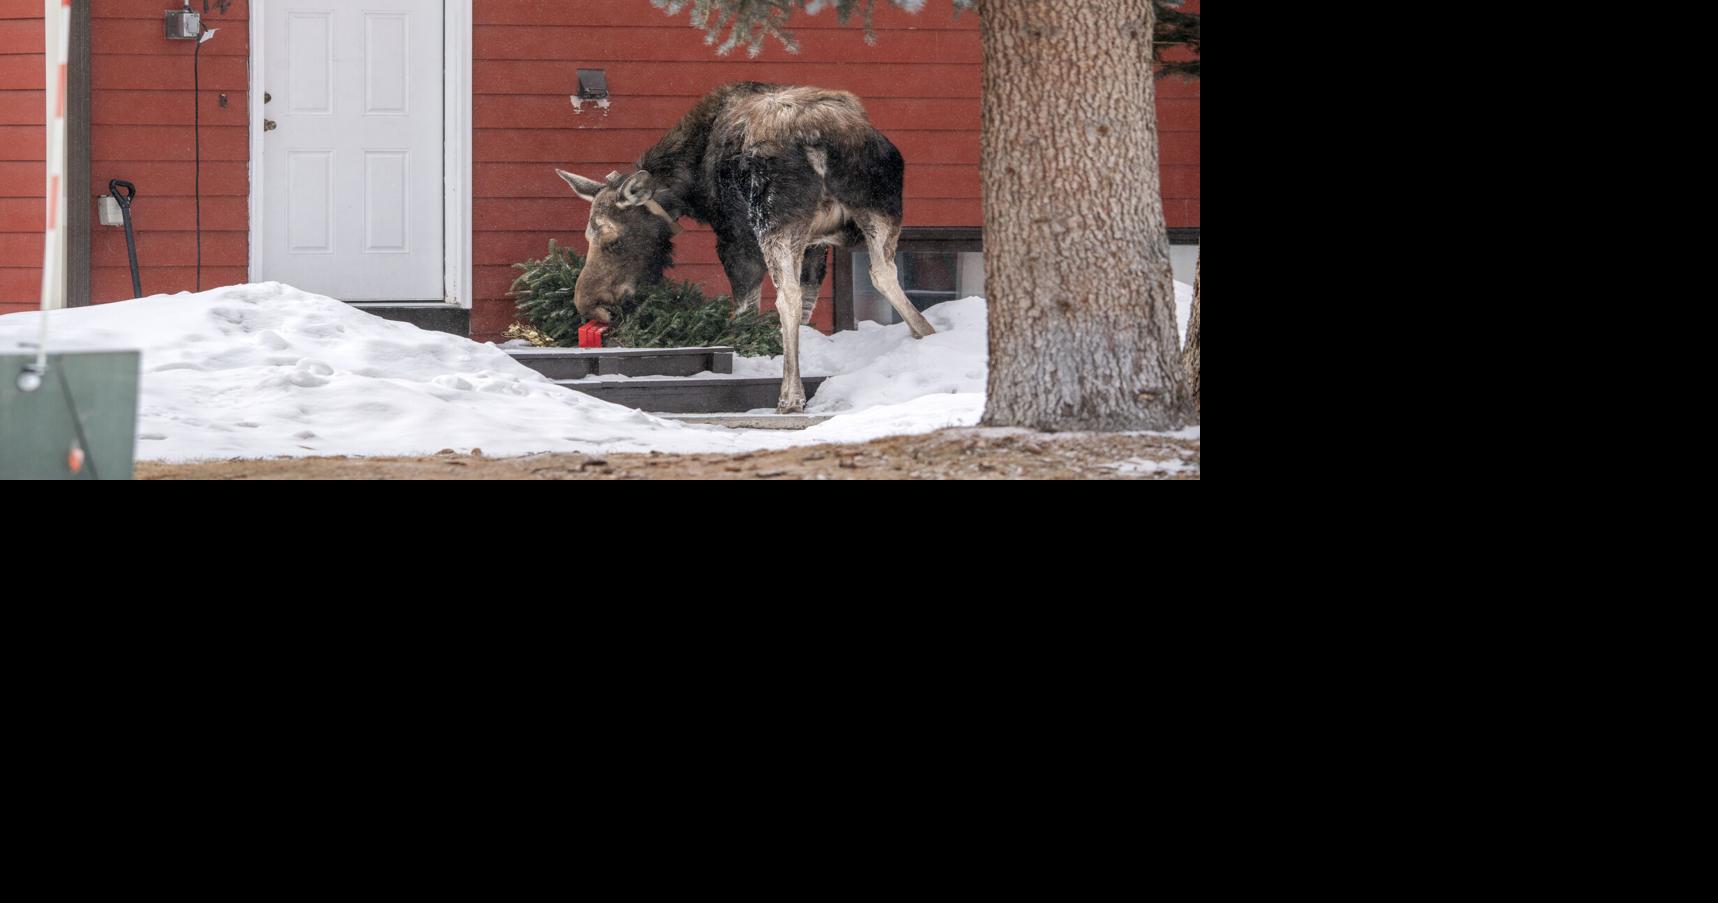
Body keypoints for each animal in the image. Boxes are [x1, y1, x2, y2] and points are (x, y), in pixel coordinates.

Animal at [556, 82, 936, 414]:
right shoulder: (817, 242)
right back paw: (927, 334)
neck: (691, 182)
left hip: (774, 221)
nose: (588, 304)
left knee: (787, 297)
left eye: (611, 237)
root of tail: (823, 142)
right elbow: (810, 303)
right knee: (883, 272)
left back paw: (790, 395)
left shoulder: (734, 237)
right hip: (879, 207)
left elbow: (745, 309)